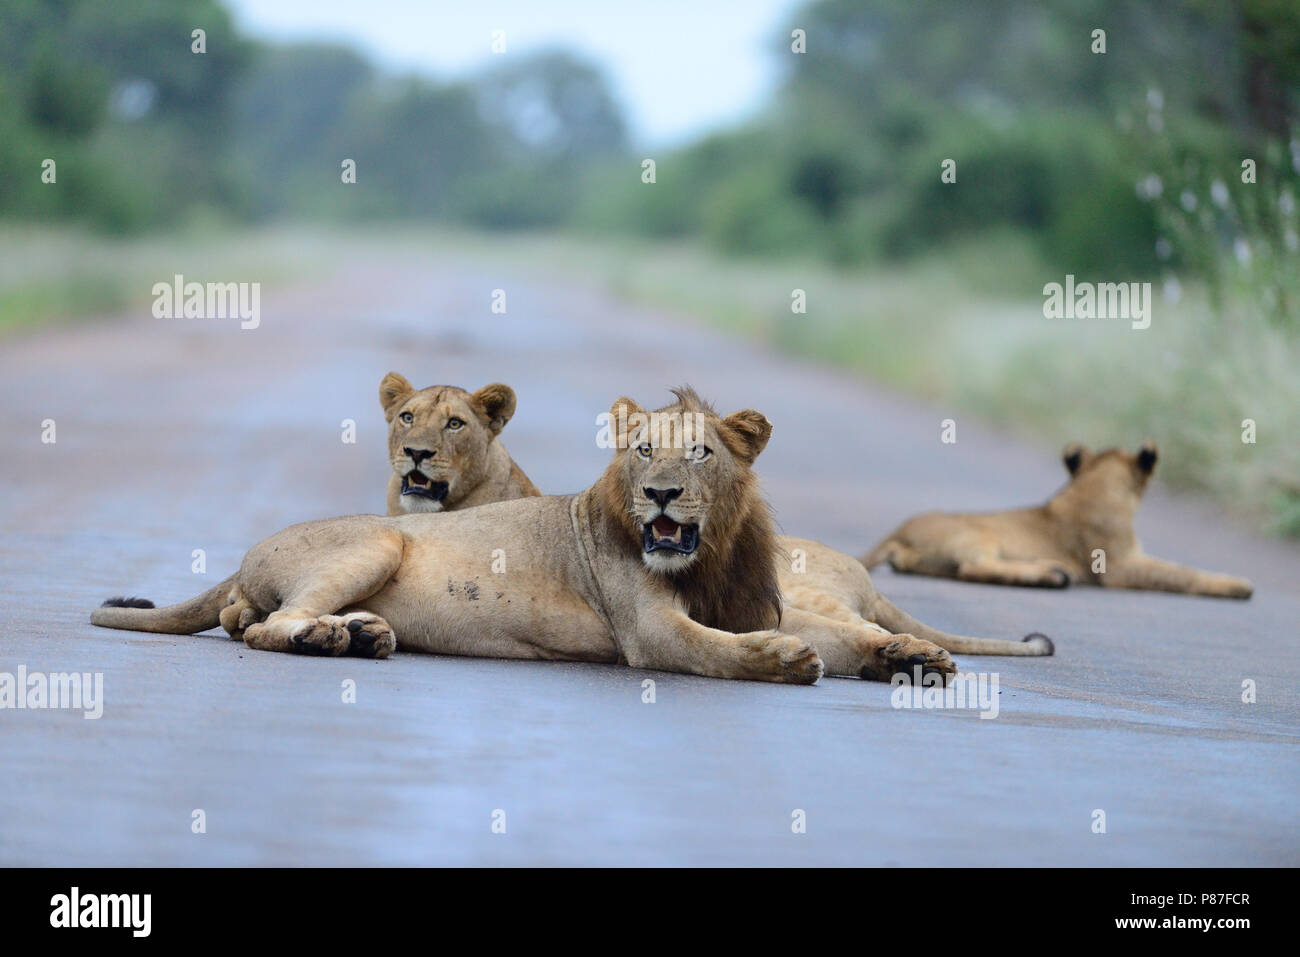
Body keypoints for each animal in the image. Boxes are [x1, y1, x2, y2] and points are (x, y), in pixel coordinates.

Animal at [86, 389, 1027, 684]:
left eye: (701, 452)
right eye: (642, 450)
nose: (659, 493)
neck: (710, 554)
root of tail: (246, 551)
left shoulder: (758, 599)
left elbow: (846, 632)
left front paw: (910, 652)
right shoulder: (650, 631)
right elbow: (720, 650)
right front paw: (782, 661)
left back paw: (361, 634)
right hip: (376, 544)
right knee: (269, 627)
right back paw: (330, 637)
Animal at [862, 440, 1253, 599]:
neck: (1093, 485)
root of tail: (895, 532)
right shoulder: (1119, 565)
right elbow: (1179, 573)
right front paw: (1238, 585)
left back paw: (1053, 570)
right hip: (980, 533)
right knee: (974, 568)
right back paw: (1051, 576)